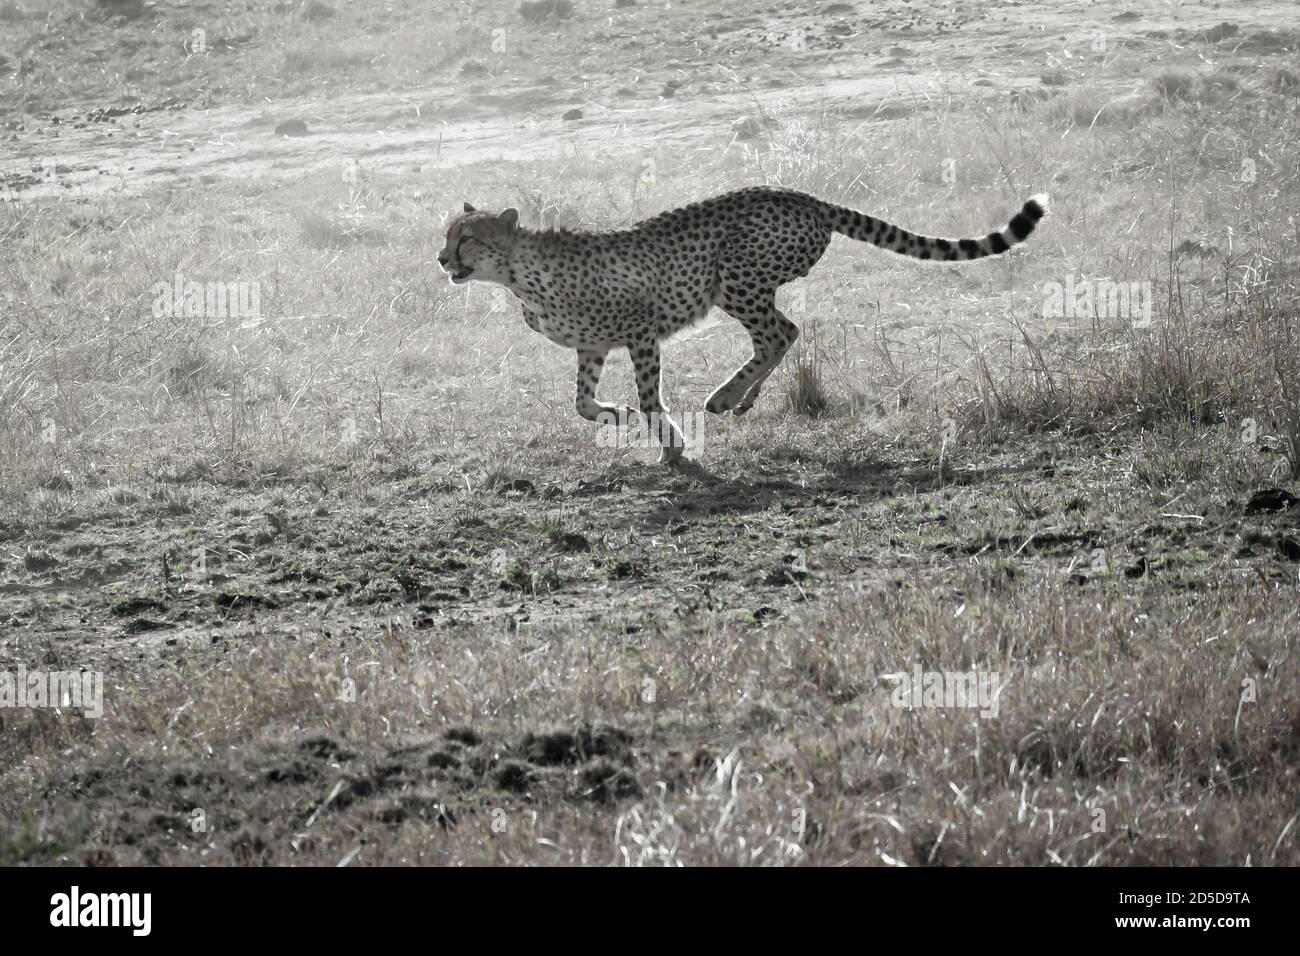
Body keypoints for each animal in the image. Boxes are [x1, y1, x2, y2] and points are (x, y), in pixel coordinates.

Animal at [437, 186, 1048, 463]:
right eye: (448, 235)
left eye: (466, 238)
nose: (442, 260)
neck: (518, 272)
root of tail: (797, 194)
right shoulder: (593, 345)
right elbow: (582, 402)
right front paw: (616, 415)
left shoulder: (640, 332)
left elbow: (651, 397)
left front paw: (671, 444)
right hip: (746, 285)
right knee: (785, 333)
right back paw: (741, 399)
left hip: (738, 279)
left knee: (780, 332)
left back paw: (724, 397)